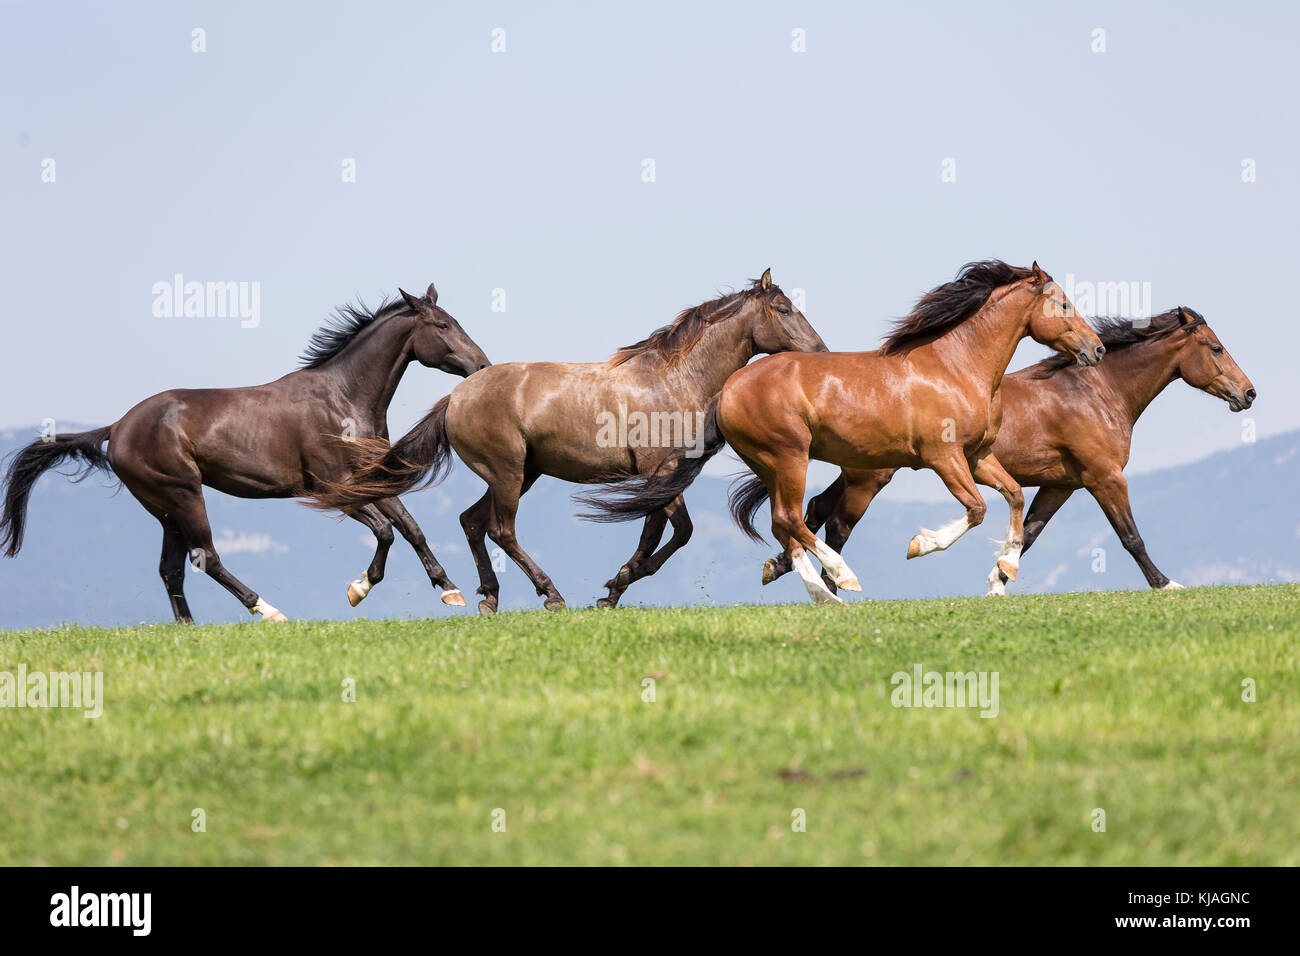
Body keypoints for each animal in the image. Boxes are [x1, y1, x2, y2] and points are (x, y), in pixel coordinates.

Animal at [0, 283, 490, 623]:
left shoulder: (369, 480)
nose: (482, 366)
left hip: (165, 508)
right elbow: (387, 531)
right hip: (184, 494)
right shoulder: (333, 488)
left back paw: (188, 628)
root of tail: (118, 427)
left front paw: (450, 590)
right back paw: (267, 611)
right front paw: (358, 589)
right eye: (442, 326)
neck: (343, 399)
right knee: (207, 558)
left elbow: (411, 528)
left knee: (171, 568)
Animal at [310, 269, 828, 613]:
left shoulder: (662, 477)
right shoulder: (660, 470)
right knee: (499, 529)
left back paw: (489, 599)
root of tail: (456, 395)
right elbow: (677, 531)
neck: (673, 380)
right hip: (508, 473)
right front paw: (616, 584)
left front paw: (614, 588)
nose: (821, 353)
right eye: (784, 310)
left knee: (472, 522)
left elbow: (657, 532)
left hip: (523, 473)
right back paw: (551, 595)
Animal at [579, 261, 1105, 603]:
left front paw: (1004, 572)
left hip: (771, 465)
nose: (1096, 348)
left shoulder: (977, 456)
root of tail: (729, 388)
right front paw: (920, 546)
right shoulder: (943, 457)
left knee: (786, 523)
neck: (955, 367)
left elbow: (1014, 496)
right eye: (1063, 303)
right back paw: (841, 579)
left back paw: (820, 593)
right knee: (791, 519)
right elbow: (976, 509)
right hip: (790, 457)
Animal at [757, 306, 1255, 594]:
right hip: (870, 477)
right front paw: (1166, 584)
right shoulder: (1105, 478)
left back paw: (786, 569)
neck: (1095, 392)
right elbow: (1131, 536)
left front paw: (998, 580)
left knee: (815, 510)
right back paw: (832, 583)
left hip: (859, 471)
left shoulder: (1060, 486)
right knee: (835, 522)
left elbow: (1029, 533)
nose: (1248, 394)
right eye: (1216, 348)